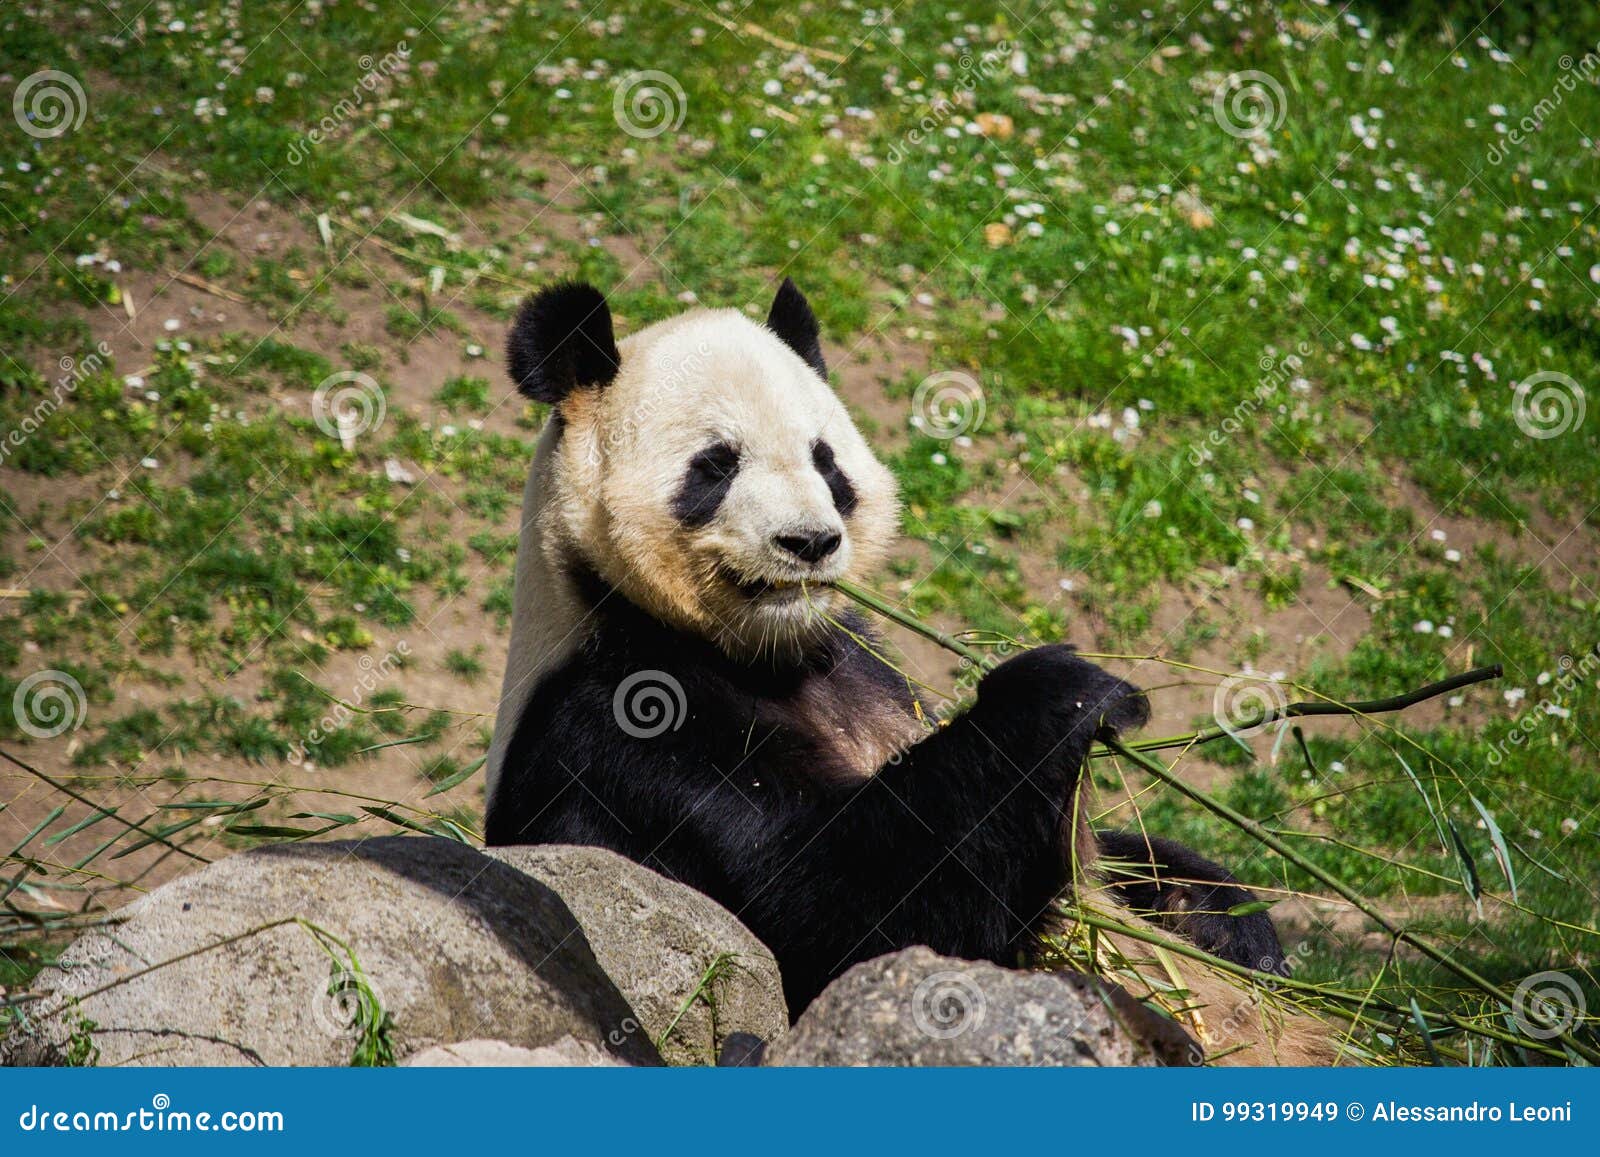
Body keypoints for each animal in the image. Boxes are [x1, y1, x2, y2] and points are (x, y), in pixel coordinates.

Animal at [483, 278, 1289, 1025]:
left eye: (825, 462)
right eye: (715, 465)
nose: (809, 542)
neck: (764, 651)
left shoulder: (865, 664)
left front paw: (1234, 926)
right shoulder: (625, 727)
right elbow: (842, 911)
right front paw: (1066, 691)